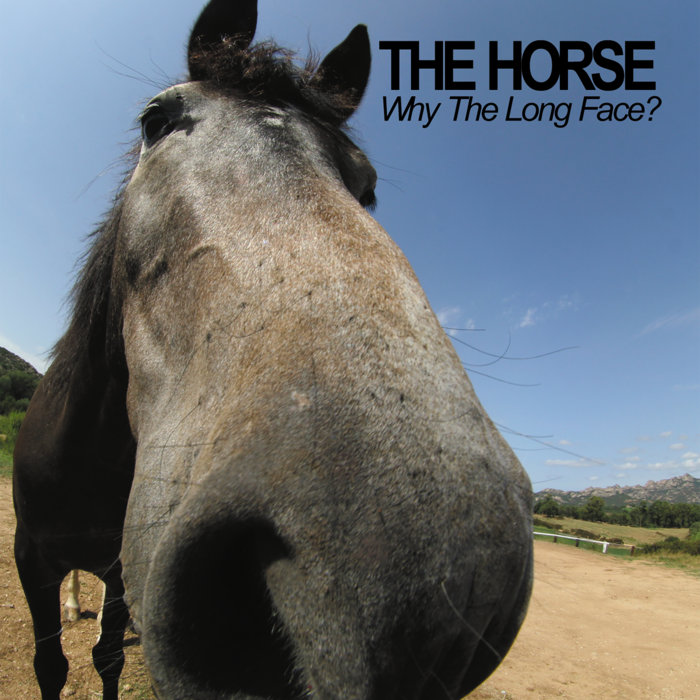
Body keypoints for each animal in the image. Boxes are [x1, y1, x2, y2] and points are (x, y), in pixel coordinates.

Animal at [13, 1, 533, 698]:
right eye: (155, 121)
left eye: (367, 186)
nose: (458, 591)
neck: (87, 460)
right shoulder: (30, 559)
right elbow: (52, 664)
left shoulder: (123, 570)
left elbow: (108, 658)